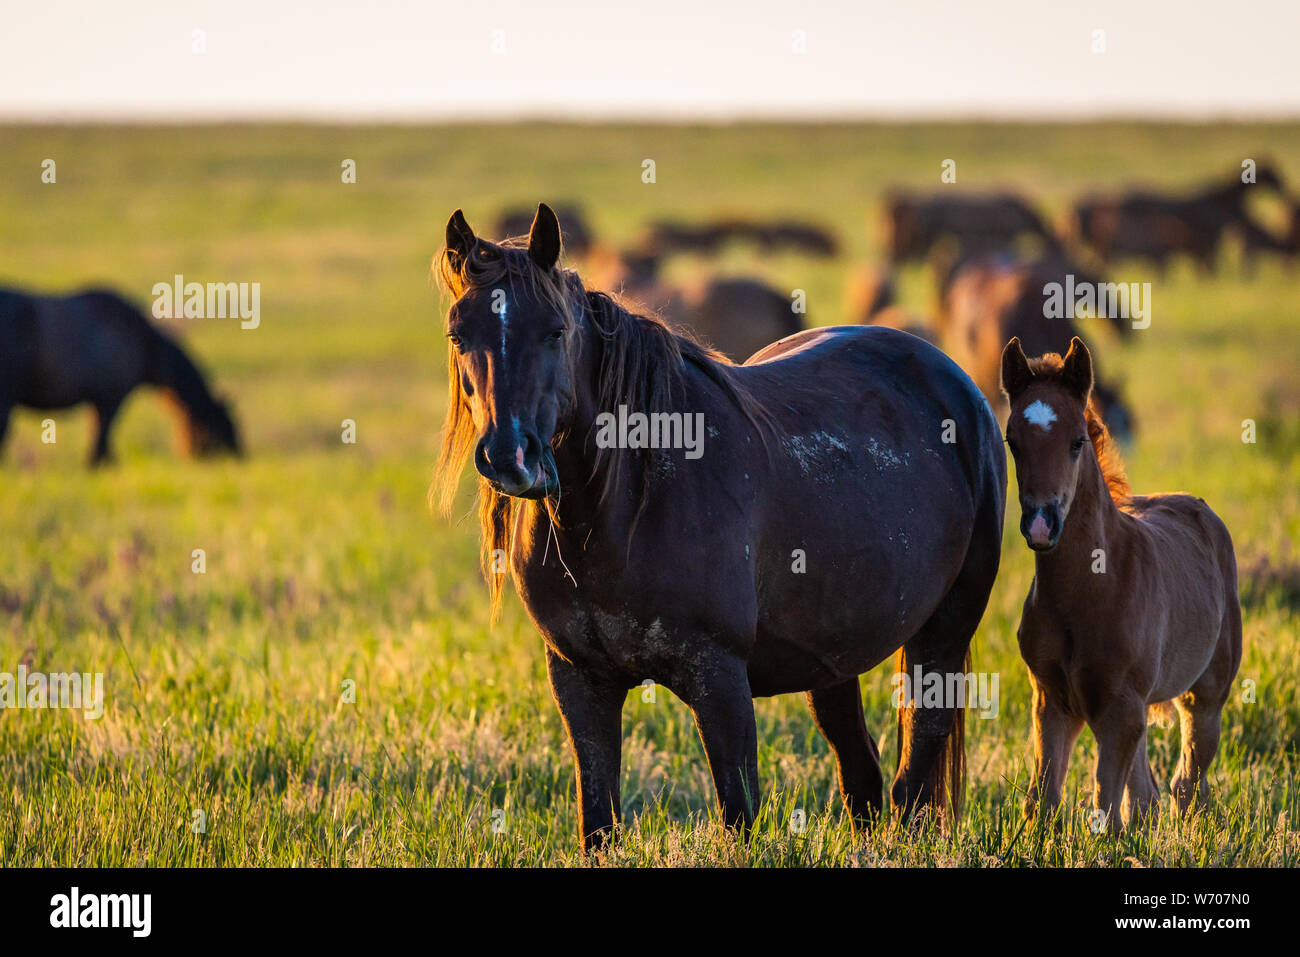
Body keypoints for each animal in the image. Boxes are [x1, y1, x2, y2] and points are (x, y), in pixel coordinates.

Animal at [0, 287, 241, 465]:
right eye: (224, 428)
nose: (240, 456)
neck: (145, 344)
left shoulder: (99, 402)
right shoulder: (111, 399)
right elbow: (100, 445)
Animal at [431, 204, 1007, 851]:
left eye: (555, 331)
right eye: (459, 335)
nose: (511, 457)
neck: (621, 510)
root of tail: (954, 381)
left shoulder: (720, 679)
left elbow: (739, 813)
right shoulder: (580, 680)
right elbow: (598, 821)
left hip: (946, 632)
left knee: (914, 779)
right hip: (833, 661)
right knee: (863, 776)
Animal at [1000, 337, 1241, 833]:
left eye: (1077, 442)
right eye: (1012, 442)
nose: (1040, 524)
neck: (1090, 592)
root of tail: (1197, 507)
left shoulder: (1119, 710)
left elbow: (1106, 808)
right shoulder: (1052, 701)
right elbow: (1043, 803)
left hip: (1205, 696)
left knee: (1186, 784)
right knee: (1150, 795)